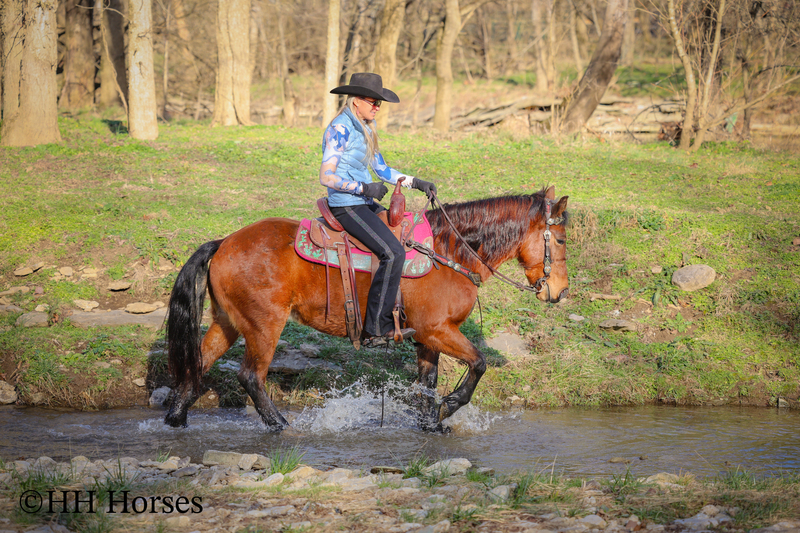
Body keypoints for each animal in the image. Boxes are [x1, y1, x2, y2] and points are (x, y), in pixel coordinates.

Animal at [164, 185, 569, 431]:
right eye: (562, 239)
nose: (560, 292)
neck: (448, 251)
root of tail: (224, 243)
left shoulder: (428, 338)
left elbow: (427, 383)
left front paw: (431, 423)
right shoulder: (438, 330)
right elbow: (478, 364)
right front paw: (450, 405)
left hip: (228, 323)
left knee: (197, 364)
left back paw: (176, 419)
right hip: (264, 326)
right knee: (251, 376)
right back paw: (279, 424)